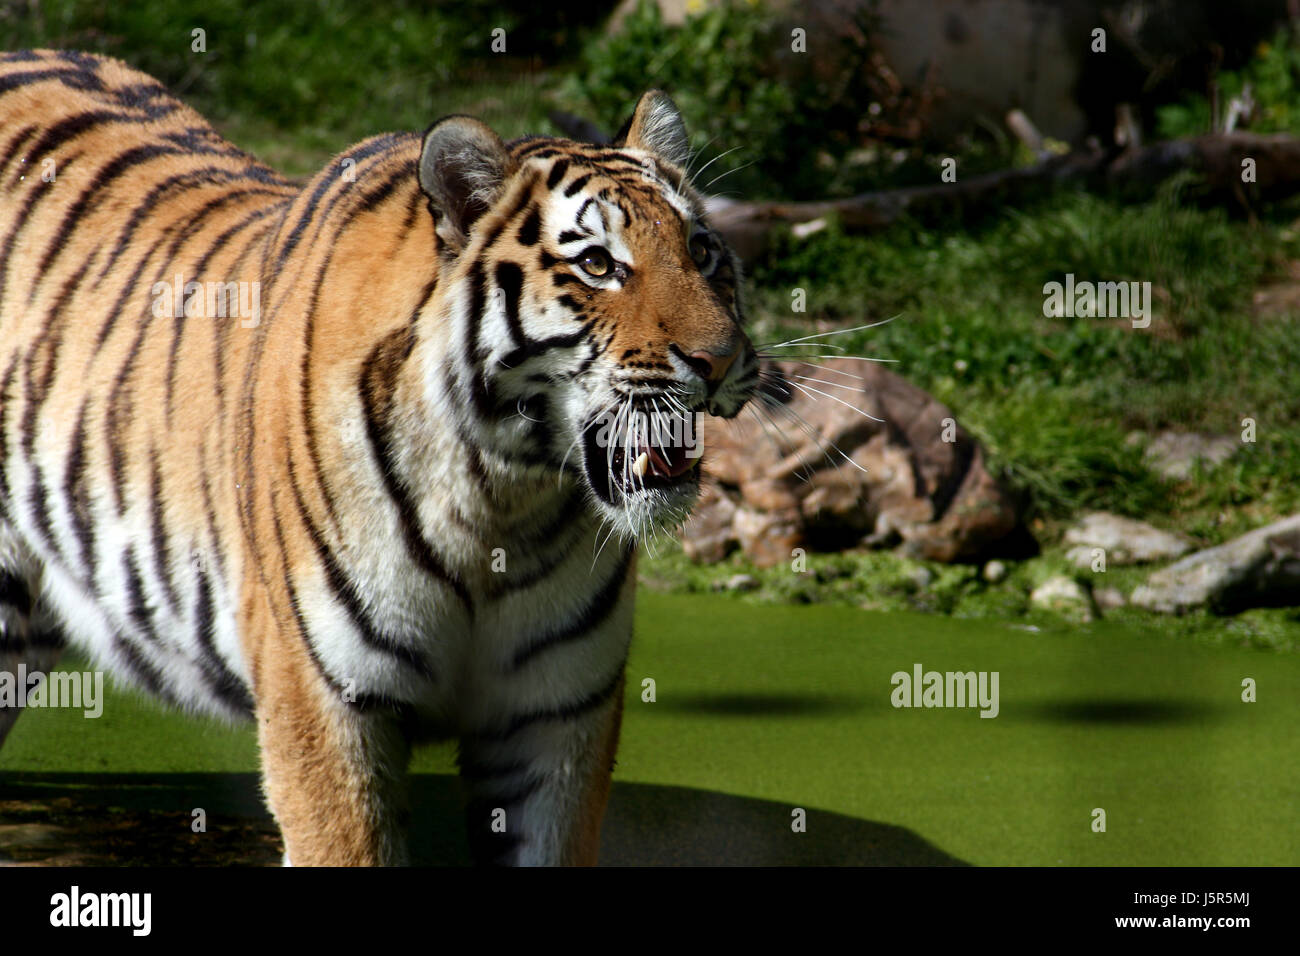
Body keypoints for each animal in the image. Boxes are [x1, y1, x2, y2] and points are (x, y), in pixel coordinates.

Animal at [0, 49, 759, 865]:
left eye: (703, 252)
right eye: (597, 264)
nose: (720, 360)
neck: (503, 503)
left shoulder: (555, 715)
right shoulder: (327, 701)